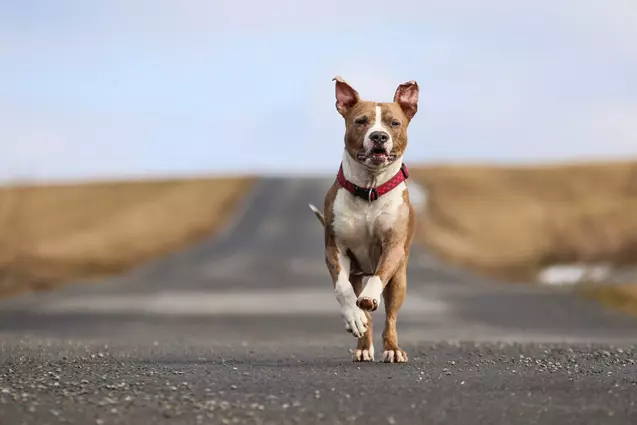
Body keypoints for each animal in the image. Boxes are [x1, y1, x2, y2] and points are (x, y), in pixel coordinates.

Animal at [306, 75, 418, 362]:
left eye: (394, 123)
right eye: (361, 121)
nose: (379, 136)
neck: (369, 189)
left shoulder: (393, 247)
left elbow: (378, 280)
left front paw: (369, 298)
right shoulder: (335, 249)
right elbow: (342, 289)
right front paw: (354, 317)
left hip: (400, 279)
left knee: (391, 316)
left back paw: (392, 349)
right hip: (357, 273)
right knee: (361, 307)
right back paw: (363, 345)